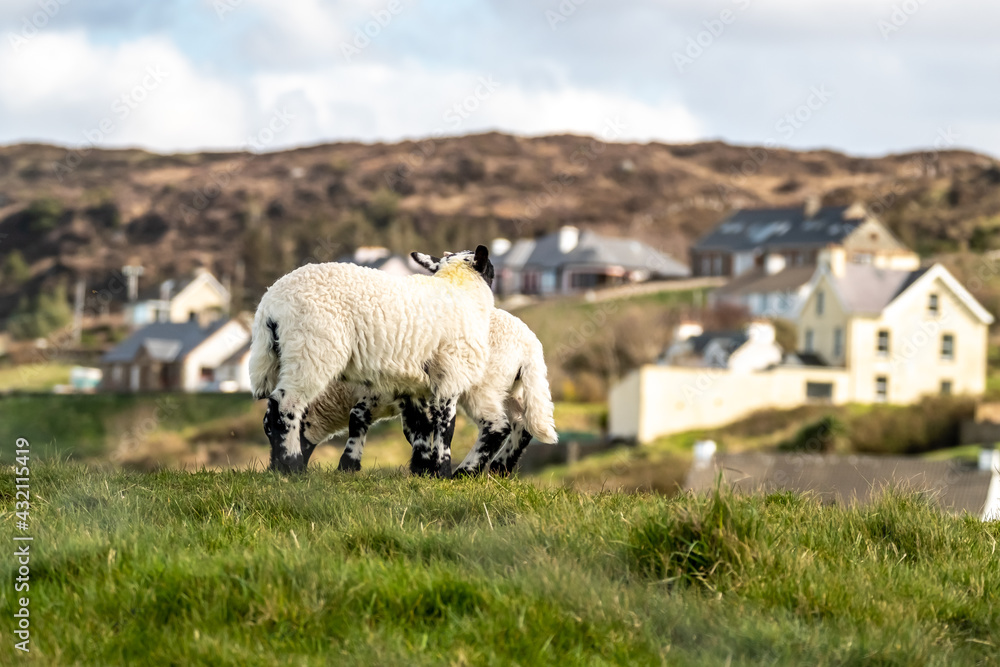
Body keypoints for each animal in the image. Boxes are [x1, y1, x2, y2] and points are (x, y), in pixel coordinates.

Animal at [250, 246, 495, 476]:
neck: (461, 290)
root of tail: (269, 306)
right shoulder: (451, 376)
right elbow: (445, 427)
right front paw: (441, 472)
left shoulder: (414, 384)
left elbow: (420, 427)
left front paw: (422, 470)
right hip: (312, 350)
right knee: (287, 404)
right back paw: (292, 466)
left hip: (279, 357)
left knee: (271, 410)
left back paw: (280, 468)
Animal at [297, 307, 558, 476]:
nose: (293, 471)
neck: (338, 393)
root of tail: (530, 345)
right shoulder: (406, 399)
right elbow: (415, 428)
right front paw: (424, 466)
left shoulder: (379, 393)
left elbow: (359, 418)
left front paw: (347, 466)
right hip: (511, 387)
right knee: (523, 423)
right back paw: (499, 468)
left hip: (483, 385)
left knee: (497, 426)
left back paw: (465, 472)